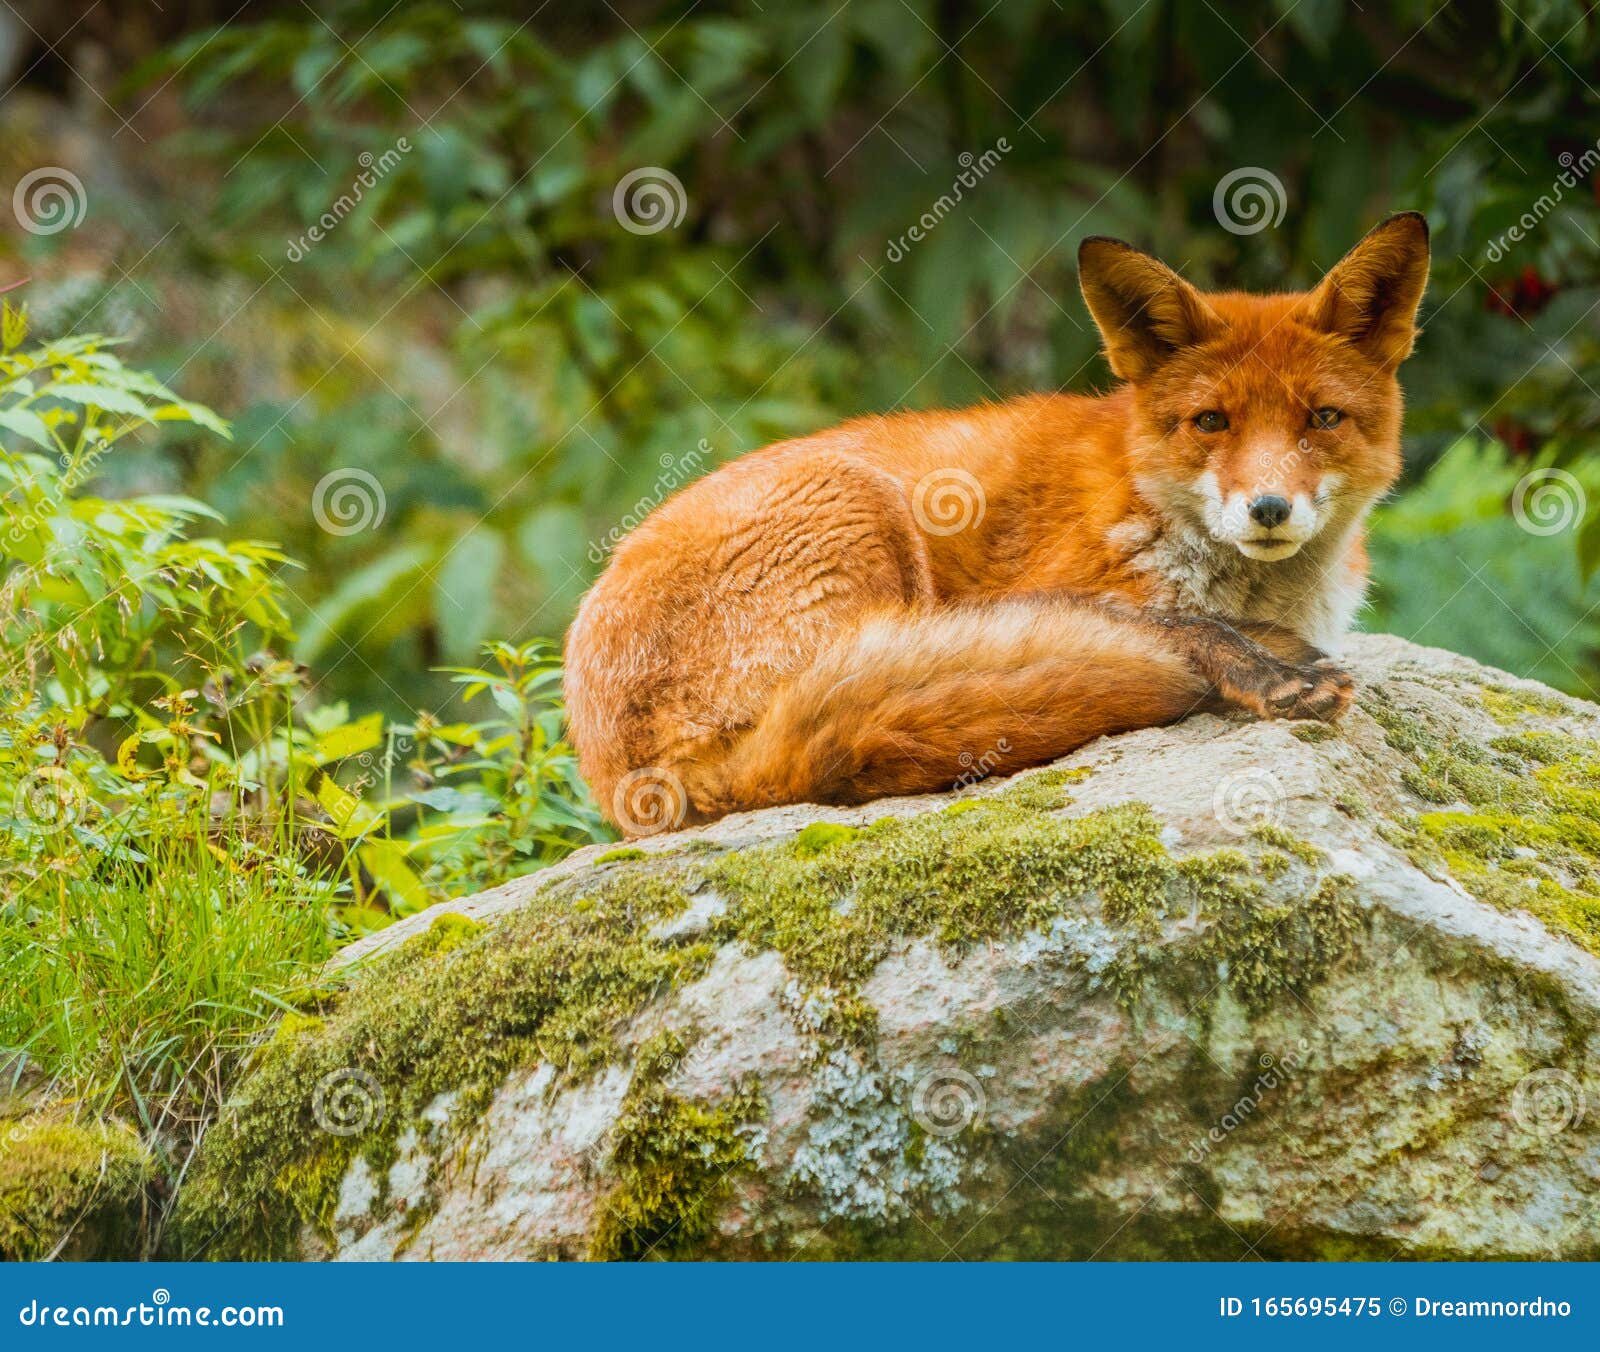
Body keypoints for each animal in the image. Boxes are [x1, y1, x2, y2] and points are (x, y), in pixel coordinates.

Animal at [565, 212, 1430, 835]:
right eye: (1212, 421)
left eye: (1322, 418)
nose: (1269, 509)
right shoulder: (1052, 587)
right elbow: (1176, 624)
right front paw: (1265, 667)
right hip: (863, 518)